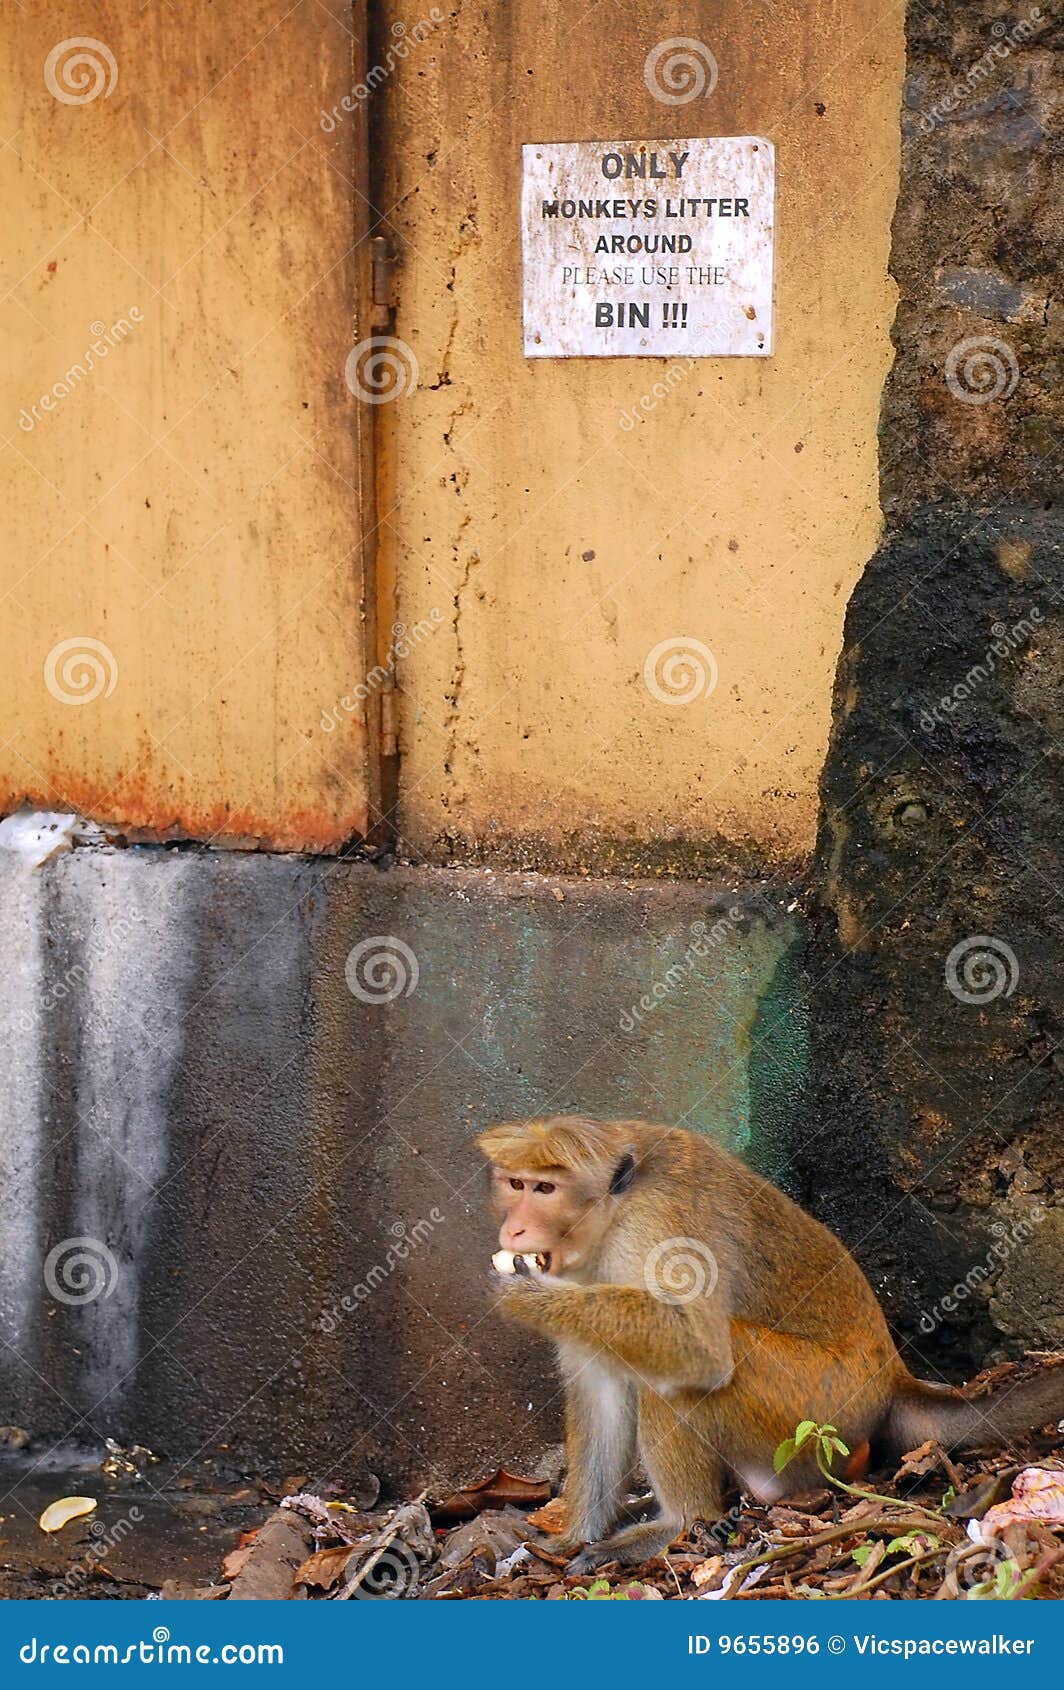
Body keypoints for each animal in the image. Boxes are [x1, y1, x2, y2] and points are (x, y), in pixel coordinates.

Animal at [479, 1115, 1064, 1570]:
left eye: (545, 1189)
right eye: (514, 1184)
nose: (513, 1231)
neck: (613, 1211)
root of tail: (891, 1380)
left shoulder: (653, 1228)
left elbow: (701, 1348)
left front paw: (525, 1296)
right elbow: (599, 1391)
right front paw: (572, 1536)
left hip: (817, 1406)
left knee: (685, 1378)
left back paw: (679, 1523)